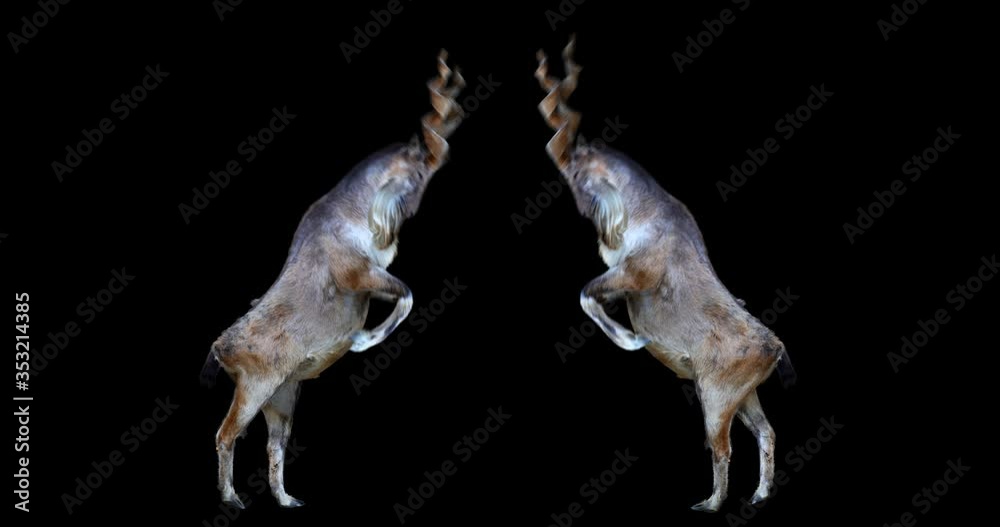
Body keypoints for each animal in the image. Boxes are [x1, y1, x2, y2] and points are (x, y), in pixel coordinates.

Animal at [200, 51, 465, 509]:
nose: (437, 160)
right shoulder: (360, 275)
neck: (348, 212)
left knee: (273, 444)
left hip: (282, 396)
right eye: (414, 168)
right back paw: (232, 499)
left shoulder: (372, 283)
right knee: (226, 434)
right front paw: (359, 341)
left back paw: (287, 500)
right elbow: (408, 295)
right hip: (254, 388)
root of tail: (220, 349)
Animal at [534, 38, 797, 512]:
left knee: (723, 446)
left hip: (715, 397)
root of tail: (774, 347)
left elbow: (585, 295)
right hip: (745, 396)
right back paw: (757, 497)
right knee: (766, 433)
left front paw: (632, 340)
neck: (651, 214)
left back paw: (710, 504)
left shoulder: (632, 276)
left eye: (581, 169)